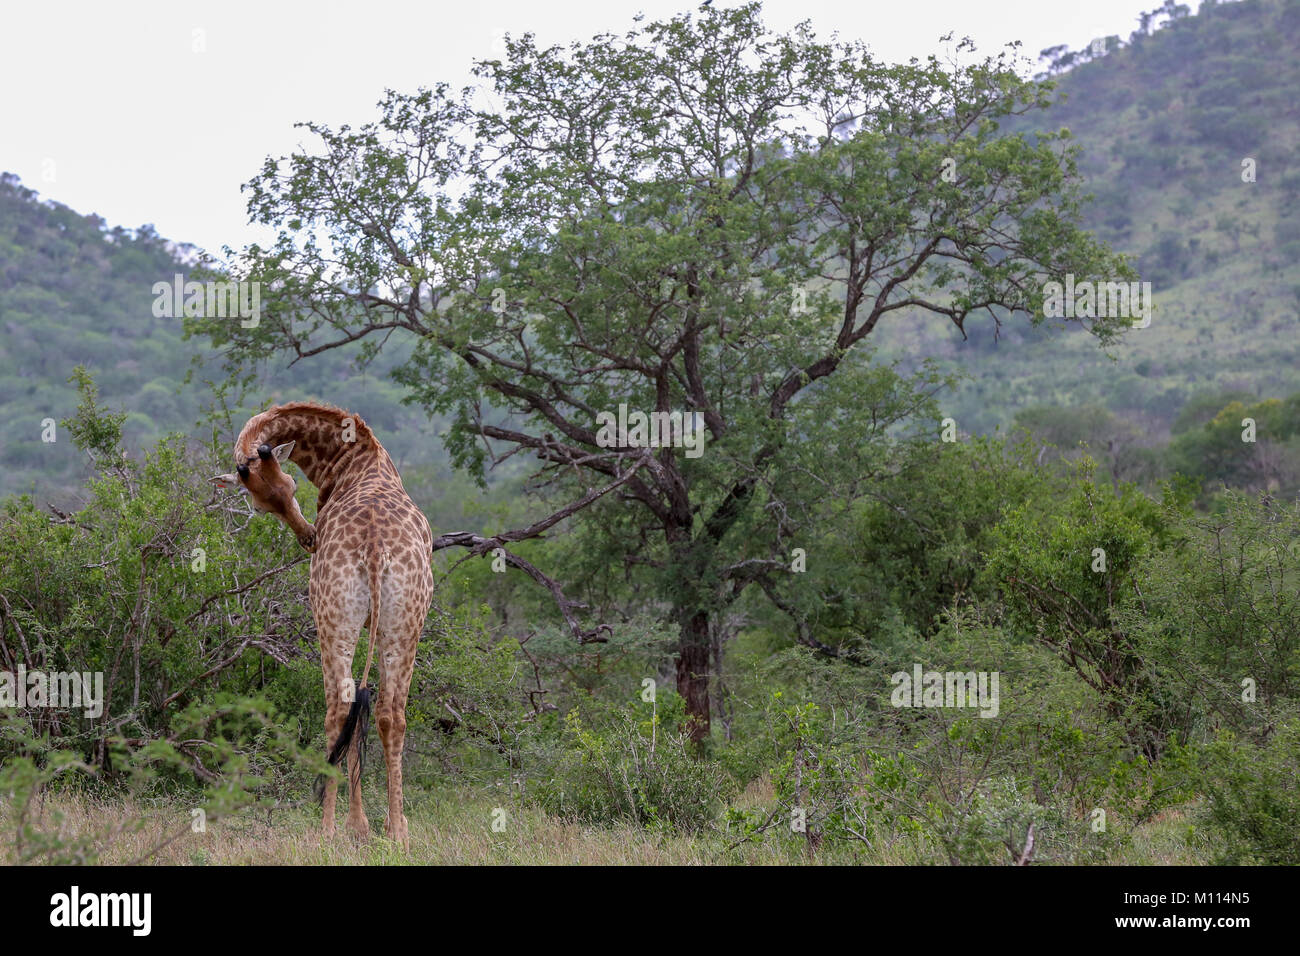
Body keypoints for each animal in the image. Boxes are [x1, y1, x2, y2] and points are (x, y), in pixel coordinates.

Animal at [209, 402, 433, 849]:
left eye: (293, 486)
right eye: (260, 505)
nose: (309, 538)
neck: (353, 459)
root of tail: (375, 548)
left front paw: (355, 825)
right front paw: (373, 826)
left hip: (337, 620)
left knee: (342, 710)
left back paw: (336, 828)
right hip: (399, 625)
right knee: (385, 713)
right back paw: (390, 830)